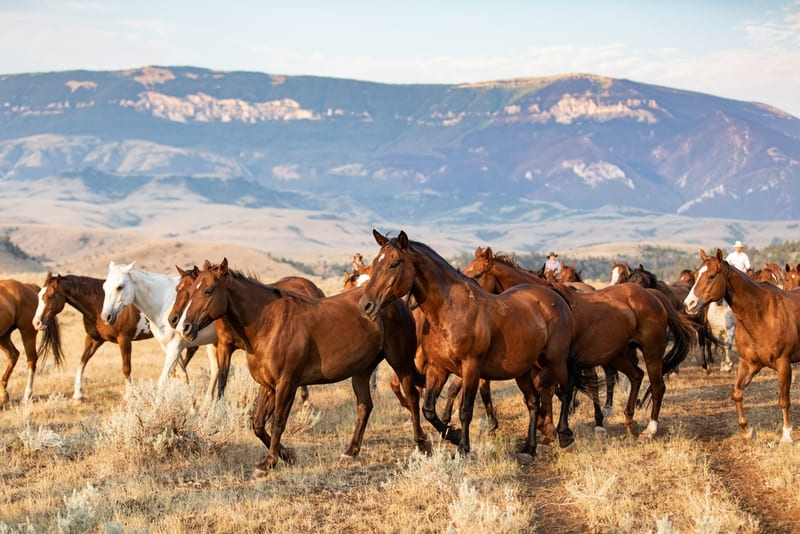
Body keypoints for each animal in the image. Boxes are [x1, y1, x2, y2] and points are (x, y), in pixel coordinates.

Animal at [32, 272, 155, 401]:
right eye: (39, 295)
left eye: (50, 296)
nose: (36, 322)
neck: (100, 305)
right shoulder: (94, 339)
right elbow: (82, 361)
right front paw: (78, 394)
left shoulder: (124, 339)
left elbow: (126, 368)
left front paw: (129, 395)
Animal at [101, 262, 219, 399]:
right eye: (104, 287)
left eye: (119, 287)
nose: (106, 316)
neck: (163, 306)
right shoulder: (168, 347)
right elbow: (183, 376)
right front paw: (191, 404)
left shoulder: (175, 347)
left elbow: (164, 381)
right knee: (216, 369)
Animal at [359, 230, 584, 459]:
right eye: (375, 263)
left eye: (394, 264)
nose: (366, 305)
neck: (450, 311)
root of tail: (556, 297)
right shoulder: (438, 368)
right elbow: (429, 409)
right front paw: (454, 435)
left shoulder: (471, 367)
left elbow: (465, 409)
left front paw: (463, 449)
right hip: (523, 370)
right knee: (533, 401)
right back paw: (529, 448)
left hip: (556, 361)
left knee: (566, 389)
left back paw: (564, 436)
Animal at [462, 246, 695, 438]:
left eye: (476, 274)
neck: (538, 304)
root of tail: (652, 295)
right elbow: (543, 392)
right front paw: (546, 428)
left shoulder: (558, 362)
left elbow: (552, 389)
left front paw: (554, 428)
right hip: (618, 354)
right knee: (636, 376)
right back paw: (630, 420)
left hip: (652, 350)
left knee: (657, 386)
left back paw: (650, 428)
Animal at [684, 249, 800, 443]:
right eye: (695, 275)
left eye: (711, 276)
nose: (689, 304)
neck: (761, 314)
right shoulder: (749, 364)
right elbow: (737, 392)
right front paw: (747, 431)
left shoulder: (784, 364)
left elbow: (784, 399)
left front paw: (786, 435)